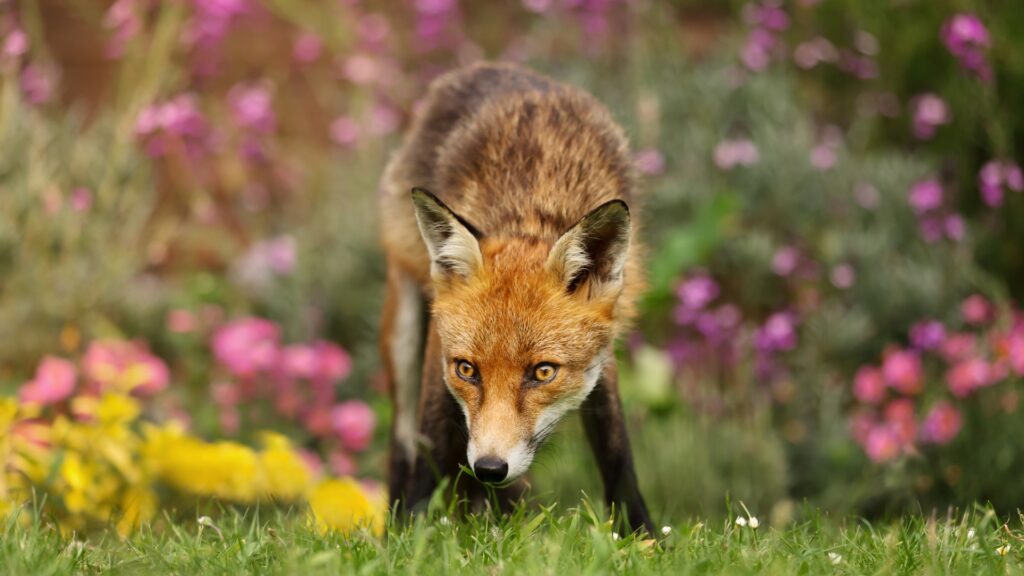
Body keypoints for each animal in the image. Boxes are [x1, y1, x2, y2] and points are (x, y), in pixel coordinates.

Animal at [378, 62, 653, 533]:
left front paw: (642, 534)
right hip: (406, 325)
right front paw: (414, 532)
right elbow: (431, 434)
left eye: (543, 372)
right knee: (402, 441)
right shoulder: (439, 348)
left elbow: (615, 445)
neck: (533, 204)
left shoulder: (605, 343)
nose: (489, 468)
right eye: (467, 370)